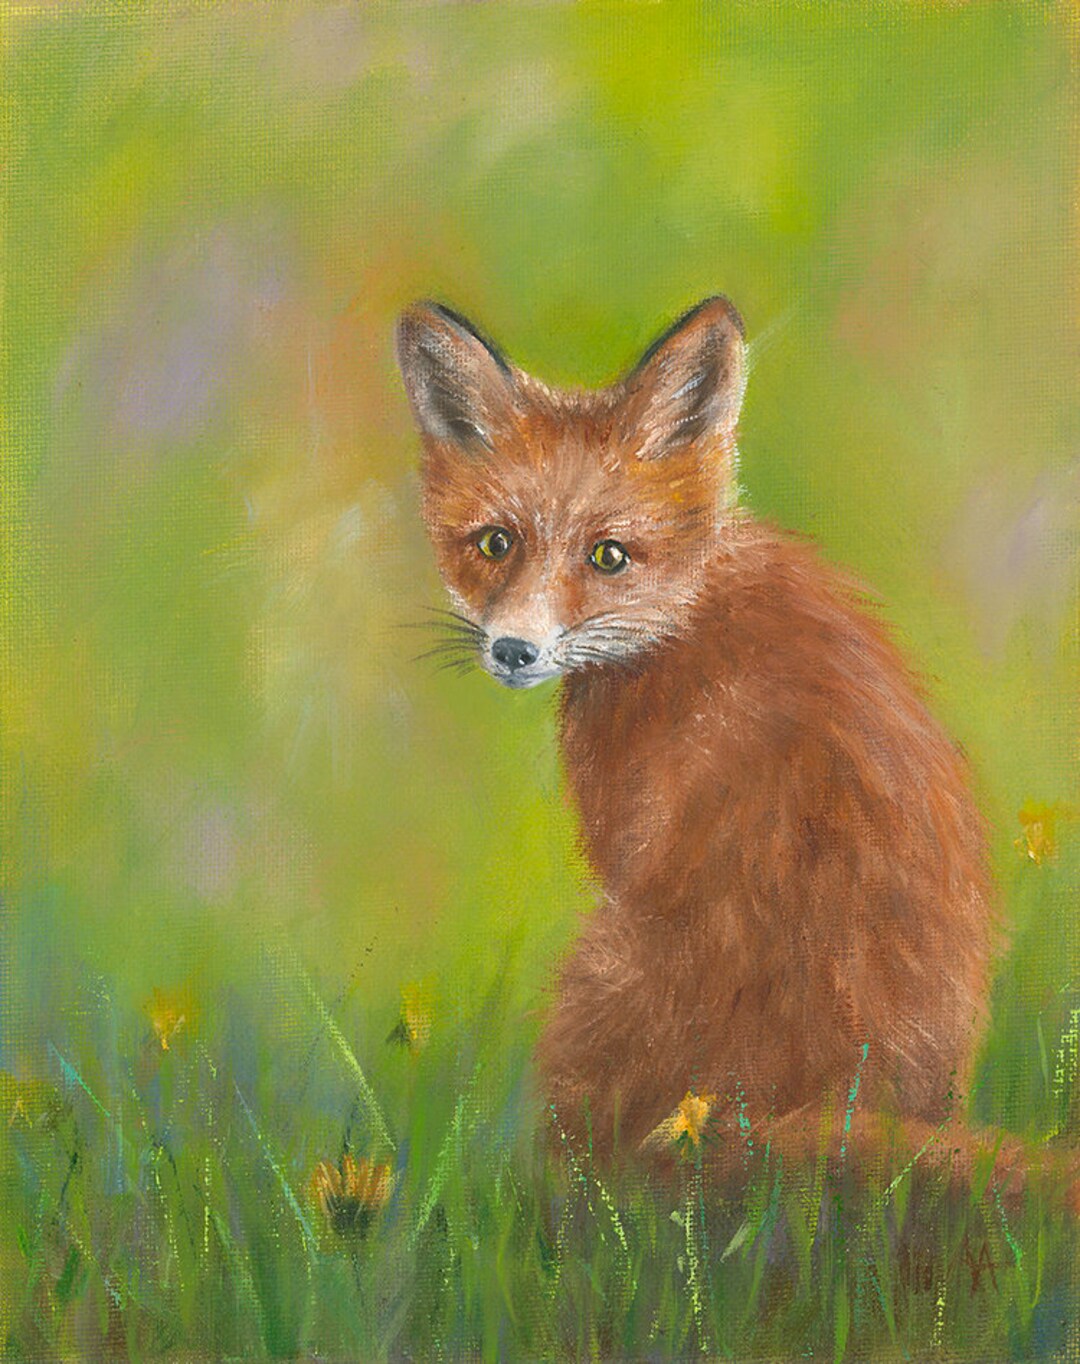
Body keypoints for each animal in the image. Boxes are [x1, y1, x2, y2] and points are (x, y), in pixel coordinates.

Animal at [395, 295, 1072, 1201]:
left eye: (608, 555)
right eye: (495, 543)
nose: (513, 651)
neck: (685, 614)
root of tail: (805, 1109)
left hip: (594, 979)